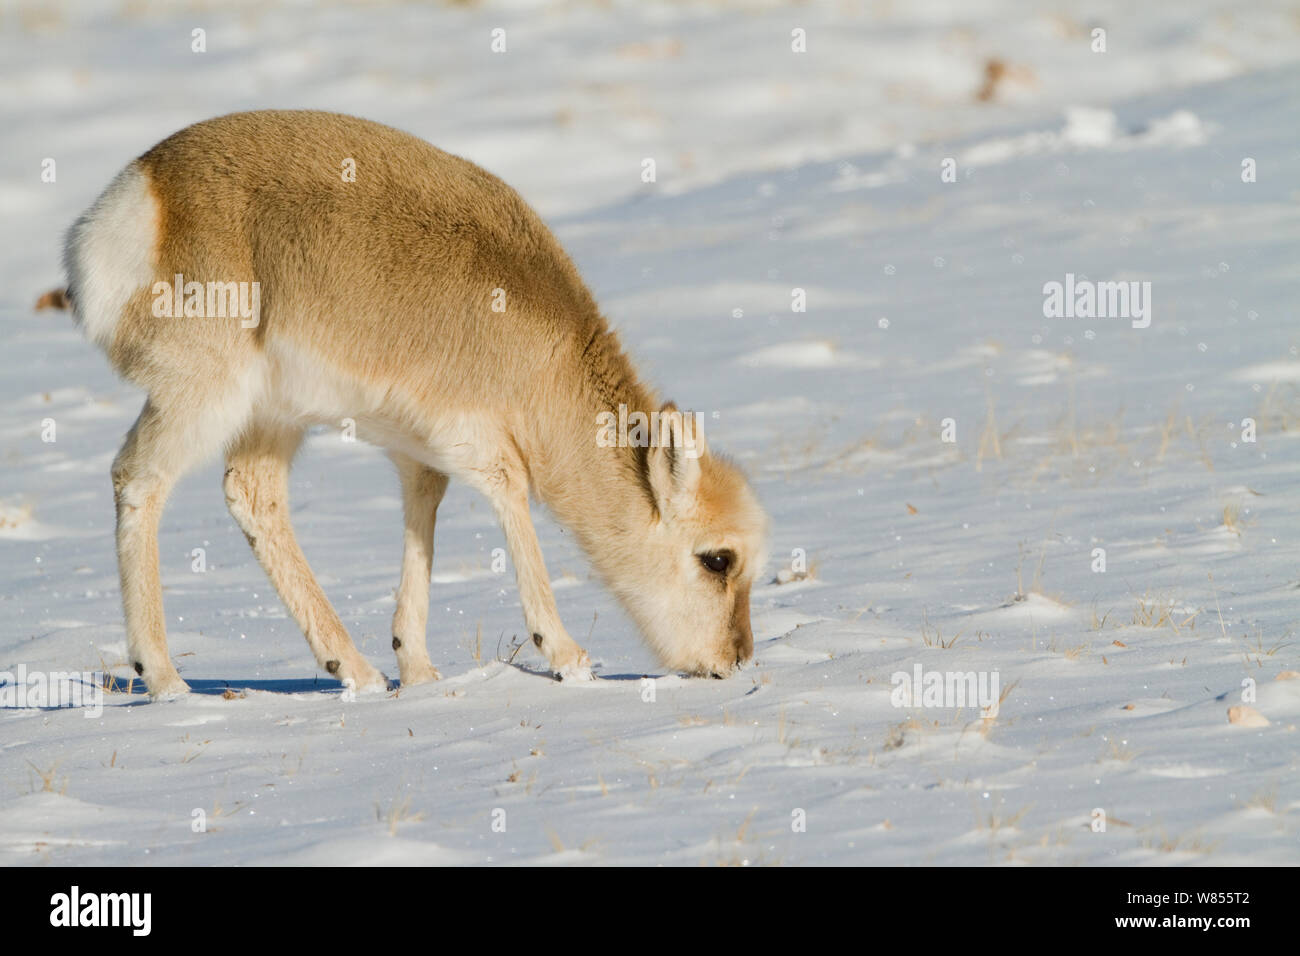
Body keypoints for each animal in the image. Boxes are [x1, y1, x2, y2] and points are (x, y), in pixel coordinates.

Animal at [61, 110, 768, 698]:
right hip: (202, 400)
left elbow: (423, 514)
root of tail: (141, 193)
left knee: (252, 496)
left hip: (269, 419)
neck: (548, 348)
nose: (735, 661)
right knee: (137, 479)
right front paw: (567, 656)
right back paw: (165, 678)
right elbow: (513, 495)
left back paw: (355, 669)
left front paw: (419, 670)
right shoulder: (480, 447)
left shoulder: (417, 455)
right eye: (718, 559)